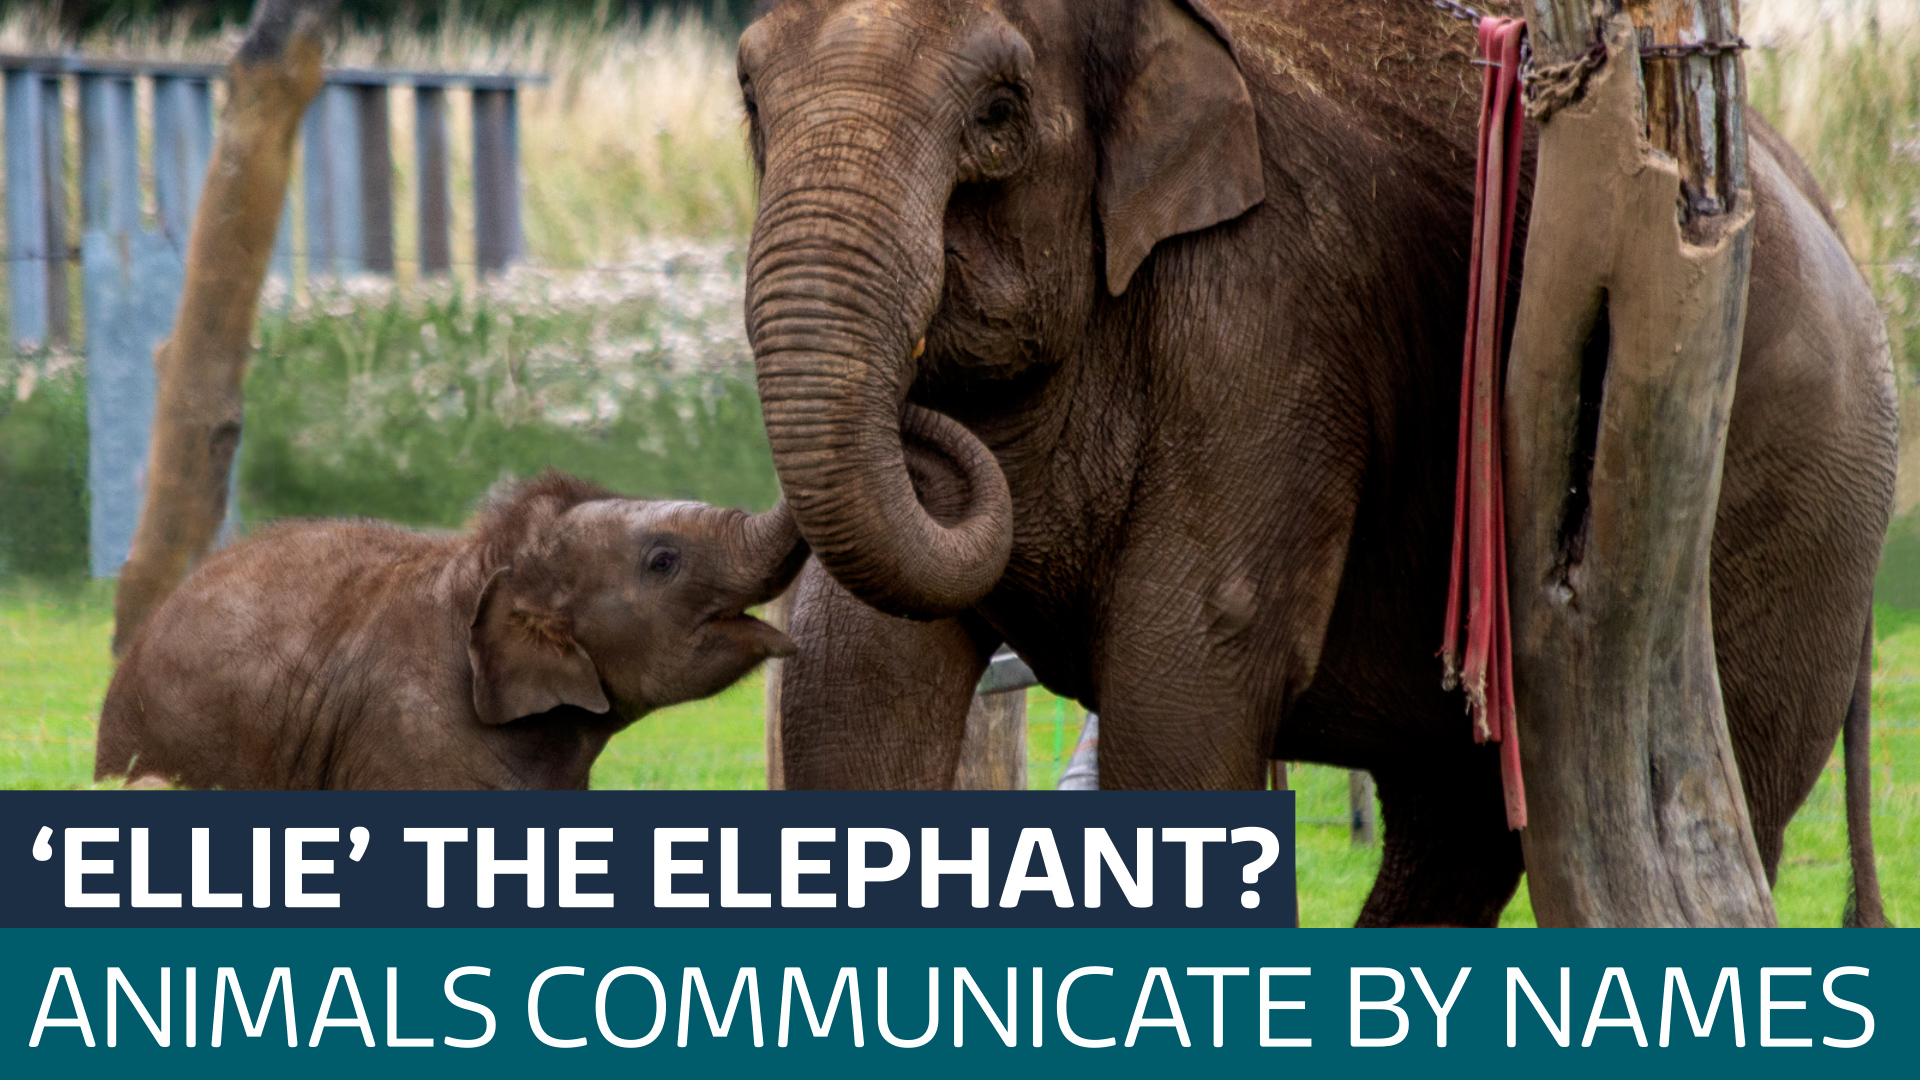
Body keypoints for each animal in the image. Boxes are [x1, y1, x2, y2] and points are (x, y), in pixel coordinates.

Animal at [739, 0, 1898, 925]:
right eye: (749, 96)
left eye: (998, 111)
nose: (924, 414)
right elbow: (853, 682)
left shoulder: (1268, 336)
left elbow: (1181, 690)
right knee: (1453, 827)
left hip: (1782, 516)